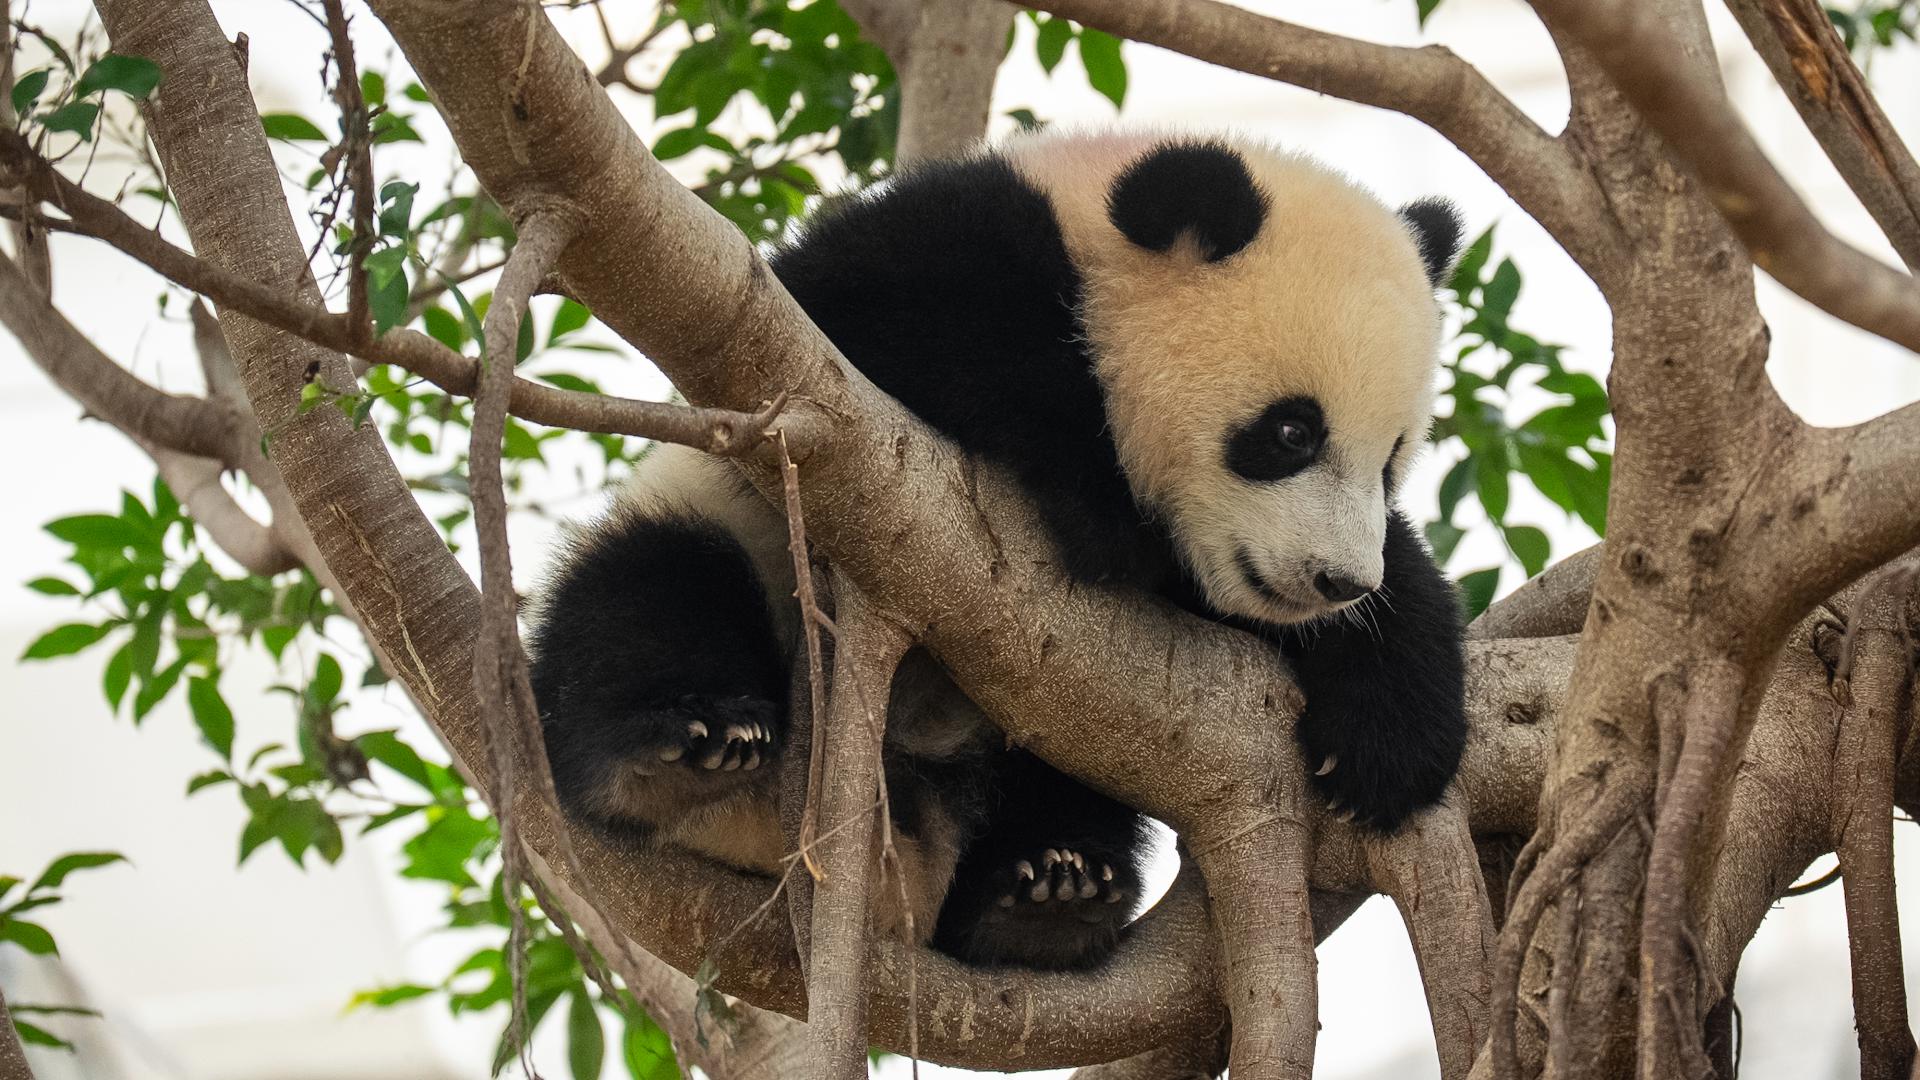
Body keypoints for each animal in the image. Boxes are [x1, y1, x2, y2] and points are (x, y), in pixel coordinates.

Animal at [526, 128, 1470, 972]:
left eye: (1392, 458)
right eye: (1290, 432)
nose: (1337, 580)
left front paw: (1389, 740)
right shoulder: (919, 260)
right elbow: (881, 330)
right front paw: (1106, 509)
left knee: (1064, 782)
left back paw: (1045, 891)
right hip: (724, 538)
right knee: (646, 595)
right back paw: (682, 751)